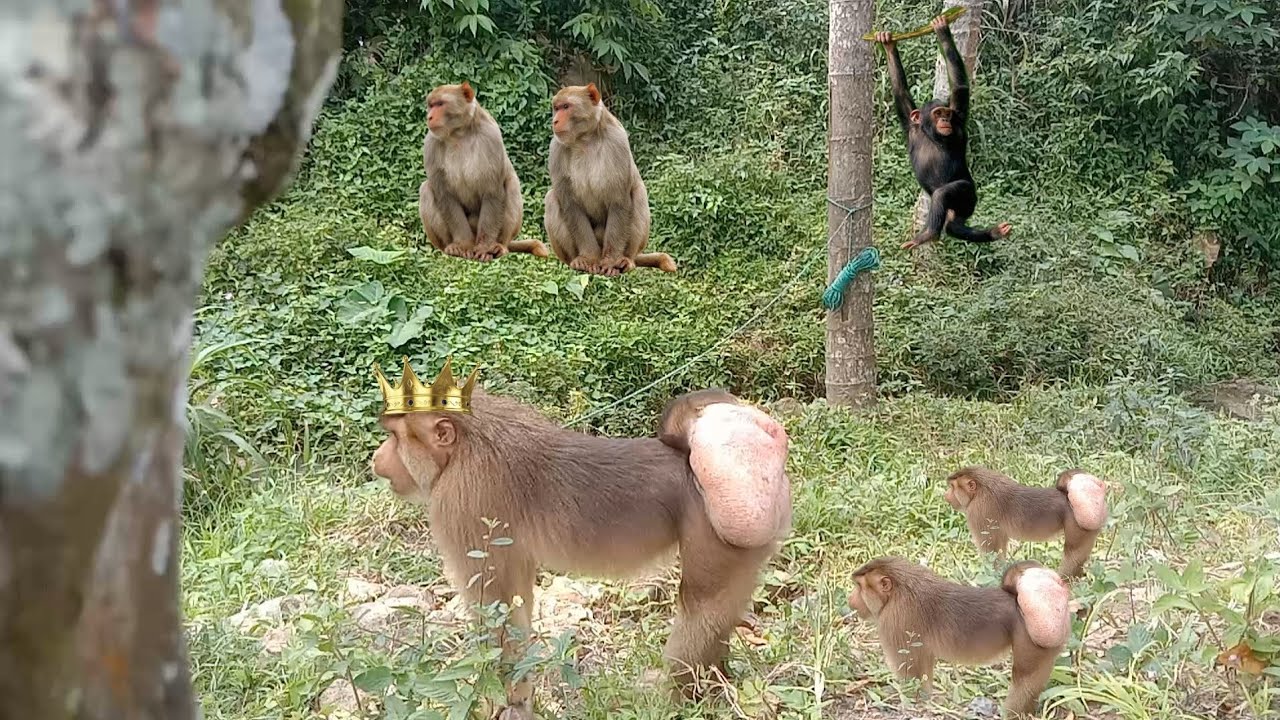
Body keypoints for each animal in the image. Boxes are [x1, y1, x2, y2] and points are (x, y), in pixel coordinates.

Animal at [420, 82, 549, 262]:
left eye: (440, 104)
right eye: (431, 105)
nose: (429, 117)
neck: (459, 133)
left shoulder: (491, 138)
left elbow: (492, 191)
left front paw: (483, 248)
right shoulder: (431, 144)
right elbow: (445, 195)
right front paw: (463, 245)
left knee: (511, 184)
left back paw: (499, 246)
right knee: (426, 189)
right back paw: (450, 248)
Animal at [543, 83, 677, 276]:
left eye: (566, 107)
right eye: (556, 108)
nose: (555, 121)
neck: (585, 139)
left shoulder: (617, 142)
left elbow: (619, 201)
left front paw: (610, 262)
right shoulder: (556, 149)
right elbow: (570, 205)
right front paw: (589, 259)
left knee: (638, 193)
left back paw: (626, 260)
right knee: (552, 198)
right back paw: (577, 261)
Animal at [846, 556, 1071, 718]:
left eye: (859, 587)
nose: (850, 598)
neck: (899, 589)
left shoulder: (895, 622)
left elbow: (912, 675)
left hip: (1032, 639)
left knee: (1024, 680)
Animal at [875, 16, 1013, 250]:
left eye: (947, 113)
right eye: (937, 113)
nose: (945, 120)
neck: (930, 134)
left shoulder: (959, 118)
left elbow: (960, 88)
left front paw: (943, 31)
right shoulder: (910, 124)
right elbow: (900, 91)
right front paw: (888, 45)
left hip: (968, 194)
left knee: (942, 195)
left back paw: (928, 234)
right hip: (960, 209)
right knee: (953, 226)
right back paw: (993, 233)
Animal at [944, 466, 1109, 579]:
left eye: (952, 487)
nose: (946, 495)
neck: (981, 489)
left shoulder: (978, 512)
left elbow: (991, 552)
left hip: (1080, 524)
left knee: (1073, 553)